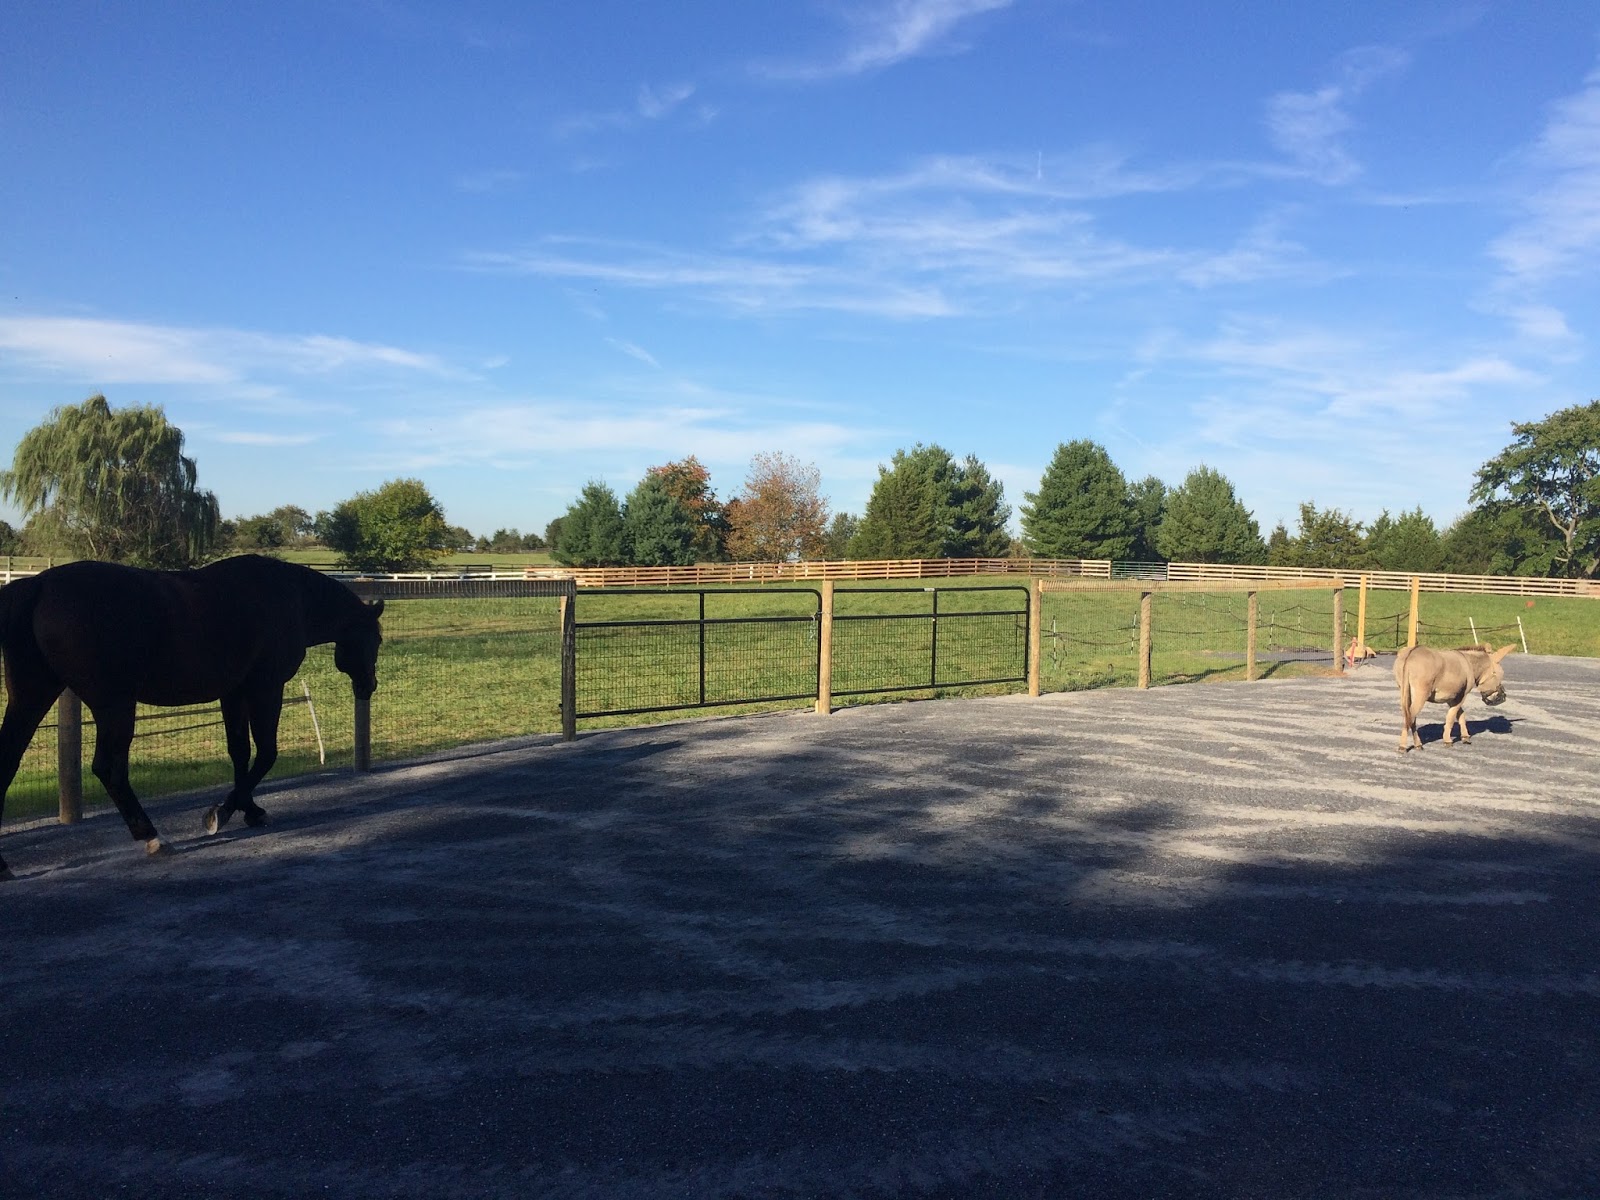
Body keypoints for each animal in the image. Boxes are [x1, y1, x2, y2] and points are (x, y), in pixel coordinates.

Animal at [0, 555, 384, 880]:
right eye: (377, 640)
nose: (369, 687)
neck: (289, 597)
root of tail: (40, 586)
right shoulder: (266, 688)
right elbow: (266, 753)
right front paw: (222, 813)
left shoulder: (234, 693)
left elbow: (240, 752)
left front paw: (249, 809)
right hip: (114, 706)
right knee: (109, 769)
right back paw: (153, 837)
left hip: (34, 696)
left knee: (9, 762)